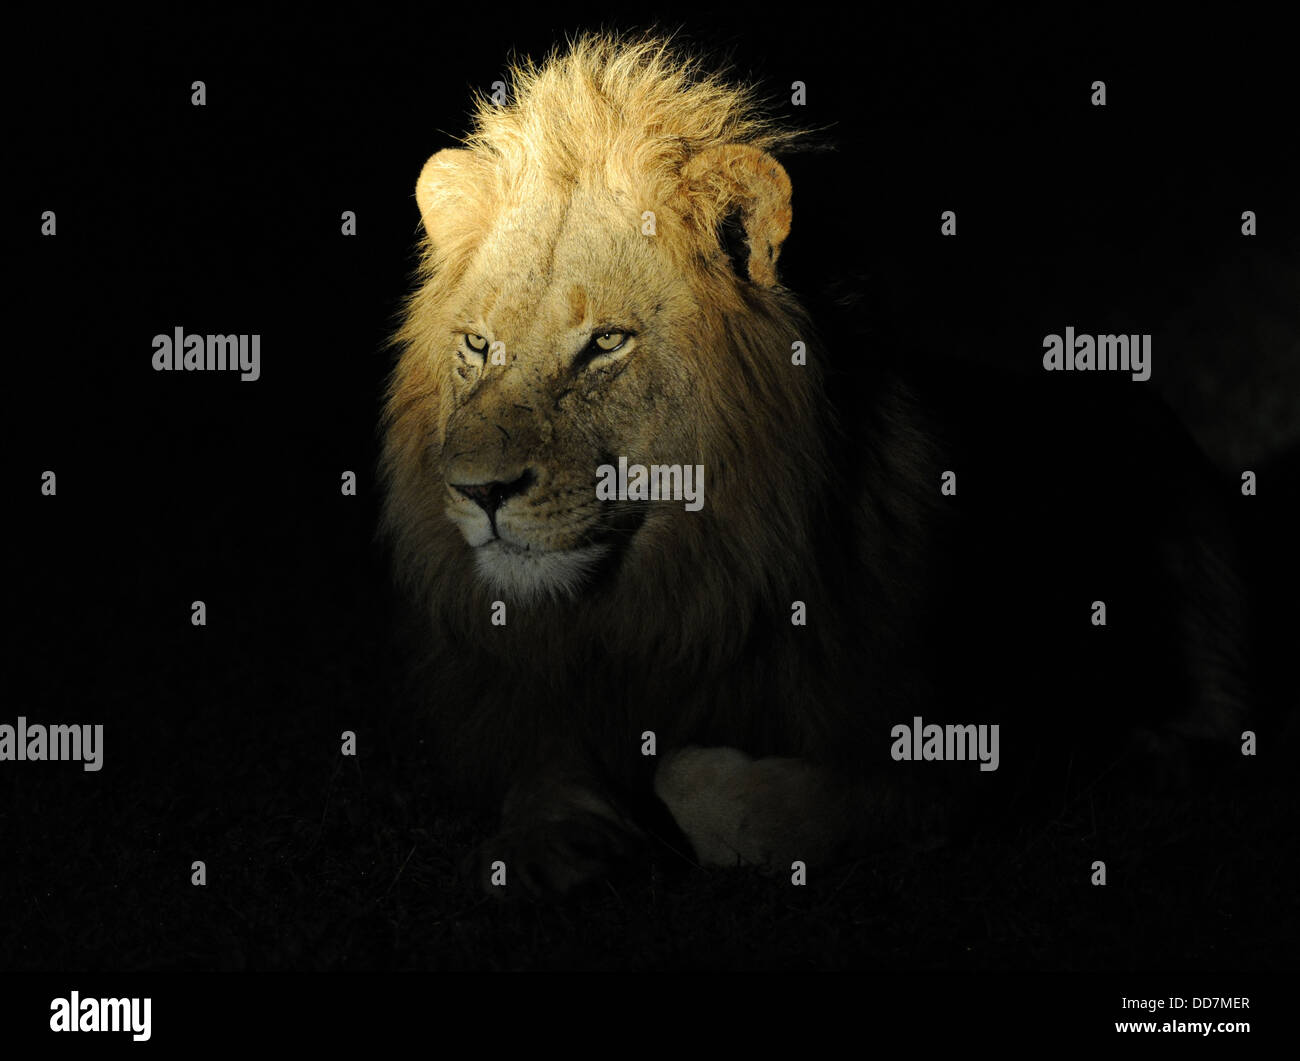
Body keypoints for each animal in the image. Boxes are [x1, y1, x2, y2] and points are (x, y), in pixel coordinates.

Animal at [381, 33, 1251, 895]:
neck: (665, 605)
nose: (479, 491)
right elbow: (542, 768)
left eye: (607, 344)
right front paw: (550, 845)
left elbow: (729, 797)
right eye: (477, 345)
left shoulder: (972, 744)